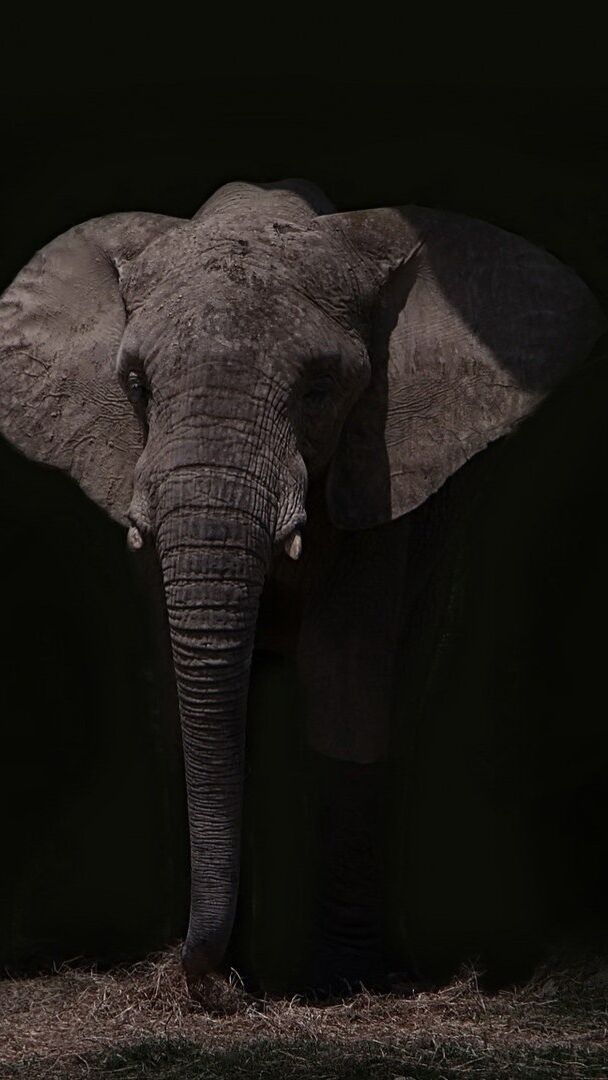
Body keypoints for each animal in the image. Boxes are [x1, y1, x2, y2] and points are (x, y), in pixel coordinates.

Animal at [0, 178, 604, 991]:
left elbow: (345, 679)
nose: (208, 988)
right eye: (137, 386)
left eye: (320, 390)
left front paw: (340, 981)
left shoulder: (378, 475)